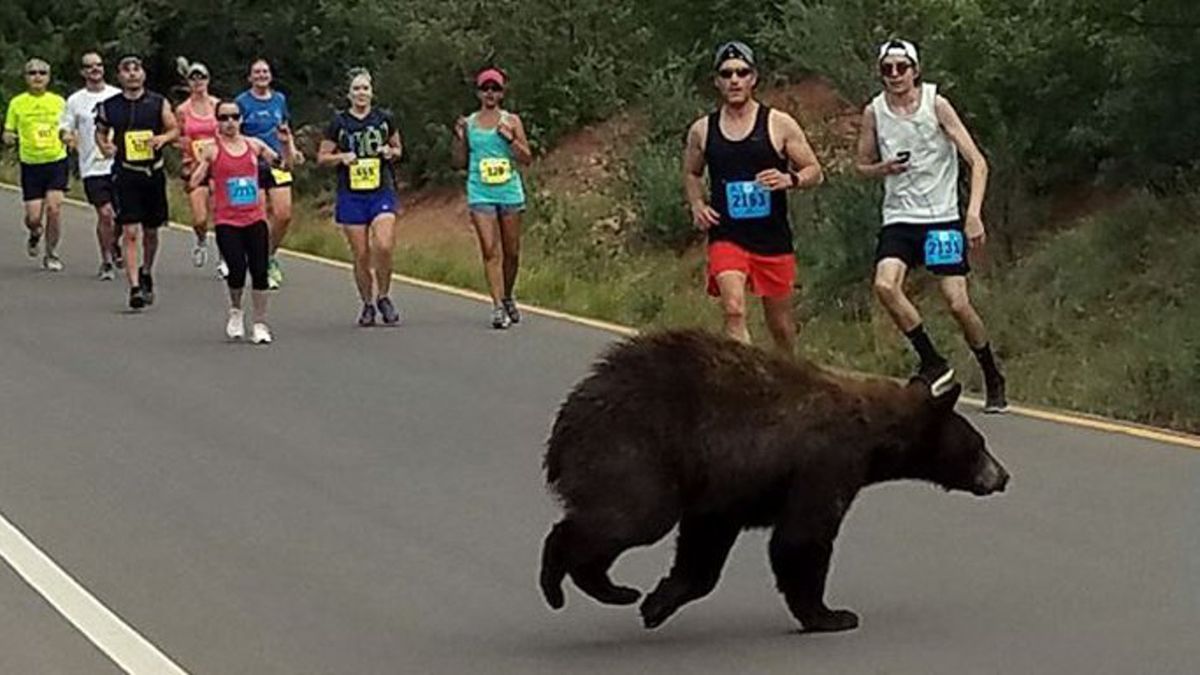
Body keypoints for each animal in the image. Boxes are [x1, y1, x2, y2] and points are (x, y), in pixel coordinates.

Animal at [539, 329, 1009, 633]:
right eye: (979, 444)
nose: (1002, 475)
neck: (877, 434)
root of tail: (564, 427)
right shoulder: (827, 460)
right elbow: (802, 537)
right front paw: (831, 615)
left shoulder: (728, 484)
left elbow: (705, 543)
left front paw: (661, 600)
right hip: (634, 450)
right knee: (630, 517)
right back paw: (578, 585)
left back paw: (612, 589)